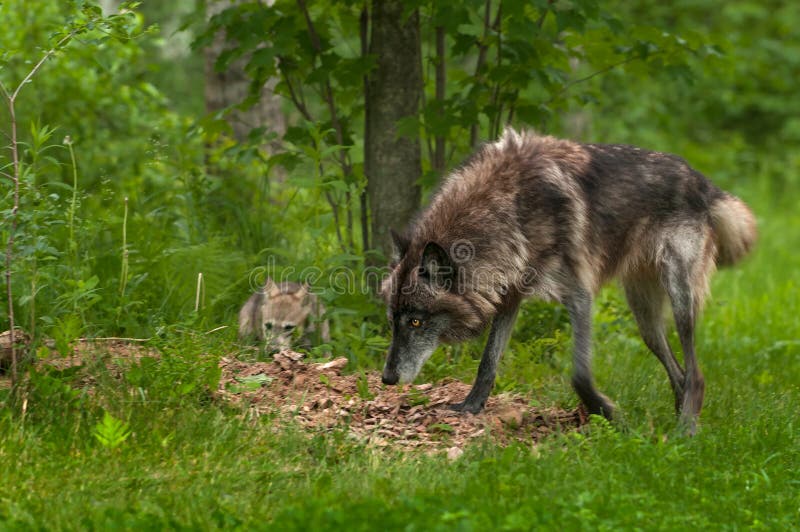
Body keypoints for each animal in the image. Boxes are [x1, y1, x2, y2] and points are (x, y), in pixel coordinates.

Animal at [380, 128, 756, 433]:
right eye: (393, 321)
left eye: (416, 321)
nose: (387, 378)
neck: (508, 206)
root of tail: (701, 180)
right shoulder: (510, 297)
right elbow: (488, 362)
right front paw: (471, 406)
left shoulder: (579, 296)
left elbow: (579, 375)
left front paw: (610, 415)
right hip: (646, 321)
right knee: (678, 373)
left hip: (680, 302)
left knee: (696, 373)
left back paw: (685, 433)